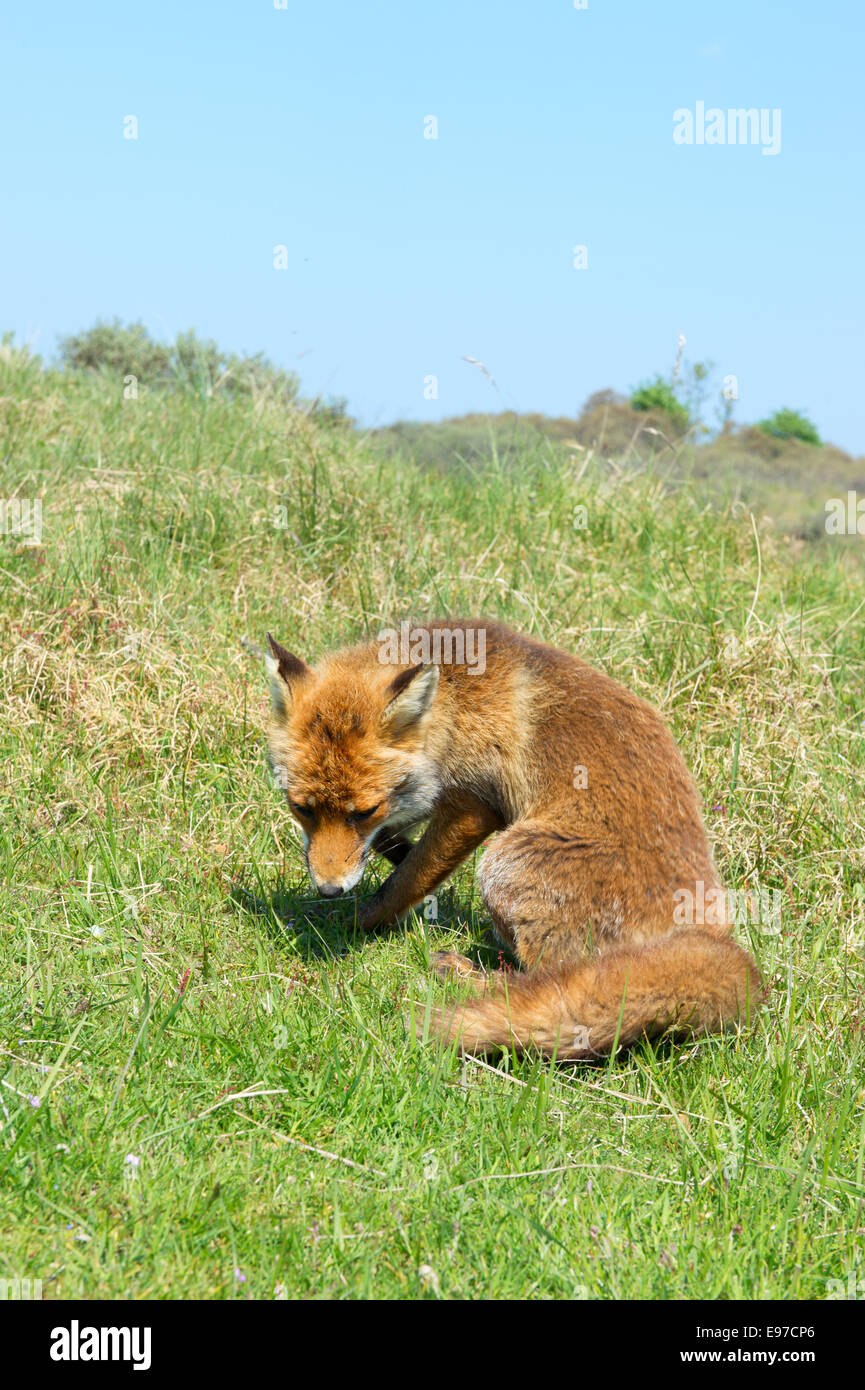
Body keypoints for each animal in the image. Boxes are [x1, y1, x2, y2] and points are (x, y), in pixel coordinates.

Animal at [264, 619, 762, 1059]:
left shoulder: (473, 806)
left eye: (364, 811)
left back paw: (467, 976)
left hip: (504, 863)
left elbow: (405, 882)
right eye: (302, 808)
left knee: (547, 979)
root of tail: (712, 934)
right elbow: (396, 850)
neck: (455, 701)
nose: (329, 889)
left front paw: (352, 923)